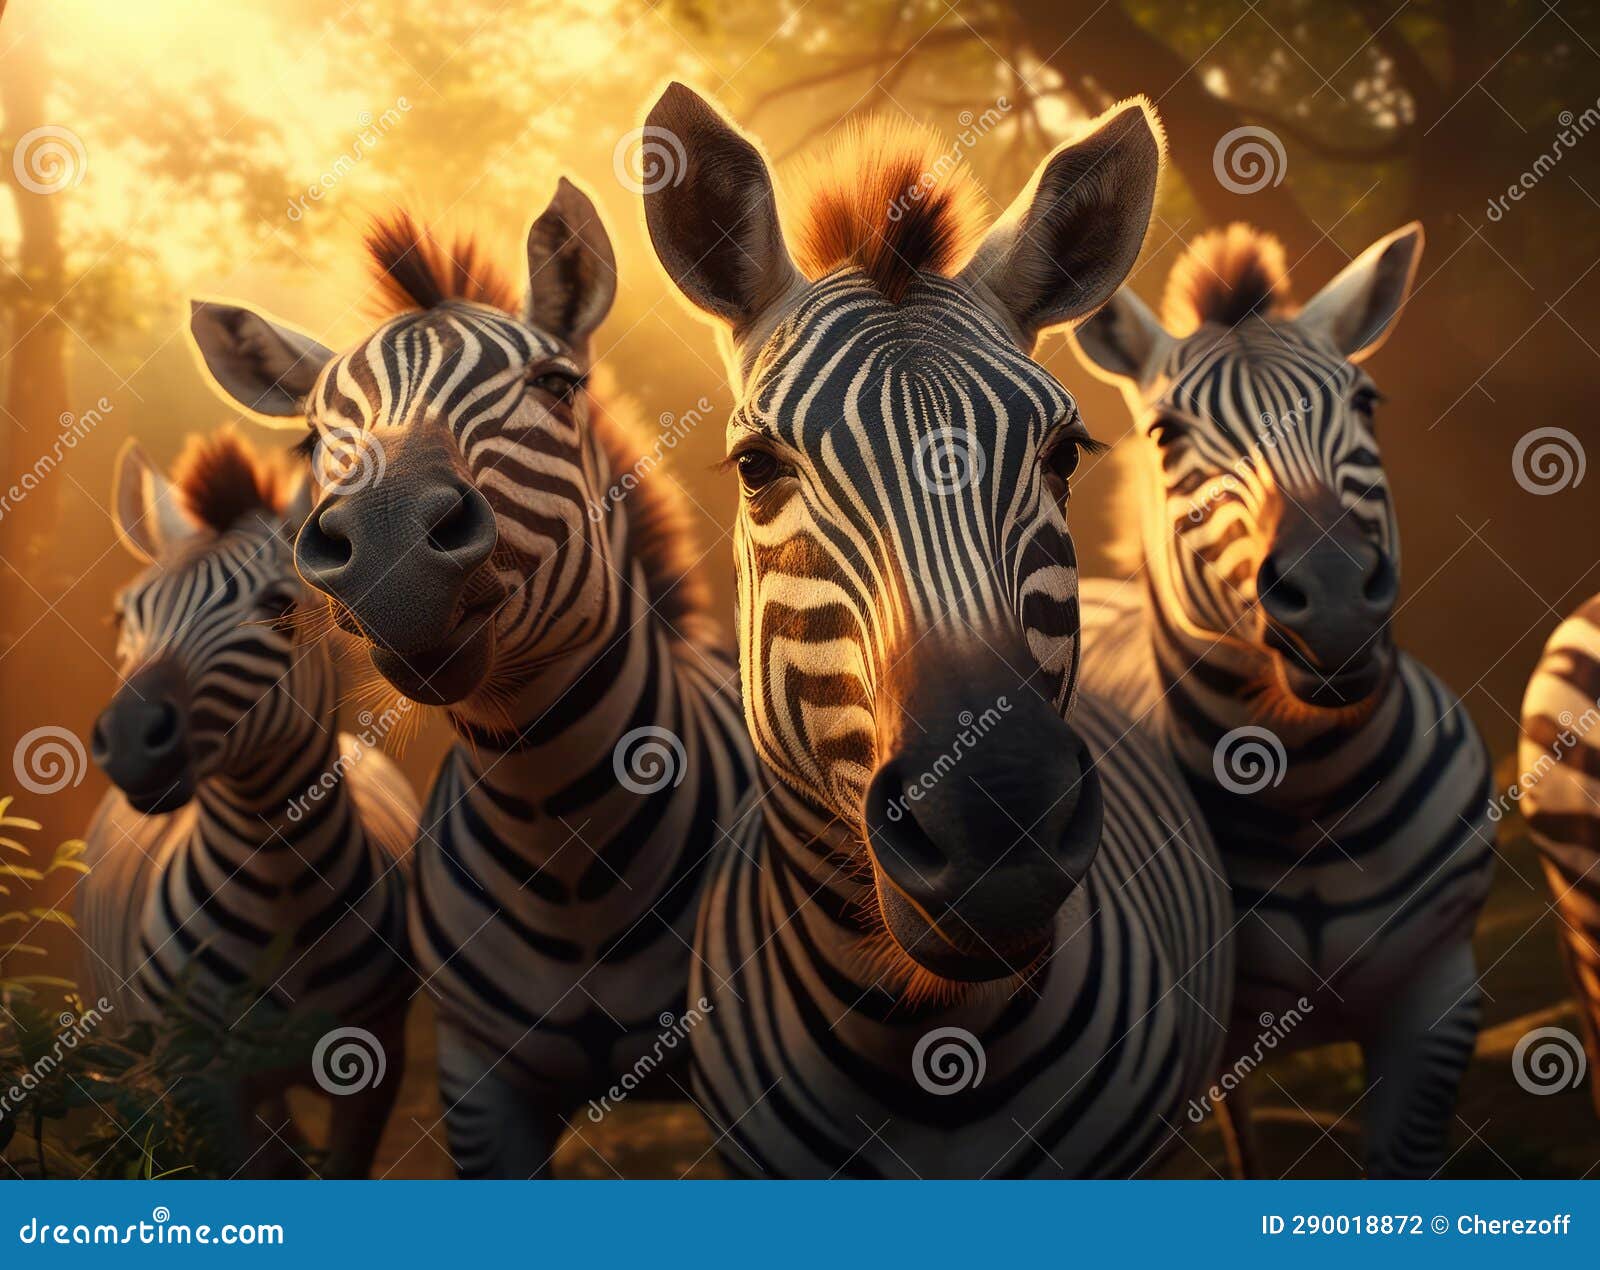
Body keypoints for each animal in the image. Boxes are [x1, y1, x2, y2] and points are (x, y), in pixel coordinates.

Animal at [81, 430, 418, 1178]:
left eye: (278, 609)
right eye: (124, 617)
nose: (129, 741)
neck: (279, 880)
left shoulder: (377, 1060)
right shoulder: (199, 1082)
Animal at [1071, 222, 1495, 1176]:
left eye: (1367, 402)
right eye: (1165, 434)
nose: (1334, 597)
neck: (1313, 799)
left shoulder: (1439, 992)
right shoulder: (1209, 1046)